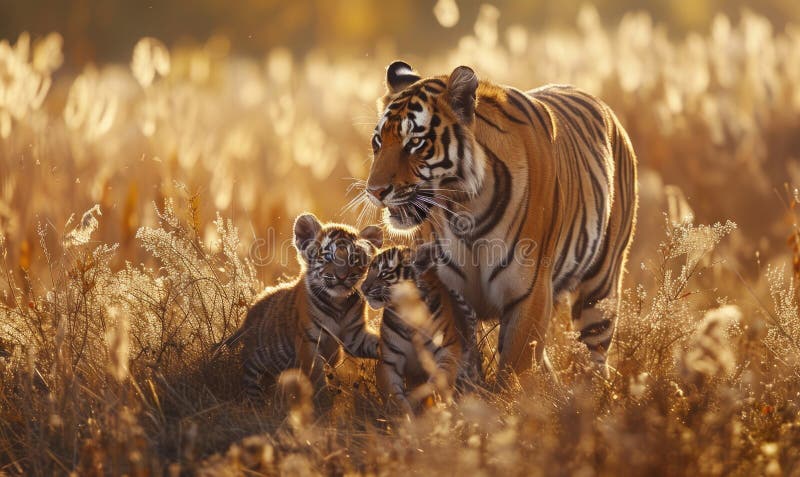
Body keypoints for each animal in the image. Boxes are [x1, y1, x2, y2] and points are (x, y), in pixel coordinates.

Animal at [226, 213, 383, 399]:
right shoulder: (308, 341)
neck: (338, 304)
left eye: (354, 259)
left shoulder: (355, 337)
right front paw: (324, 401)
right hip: (254, 367)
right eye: (327, 257)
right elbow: (318, 378)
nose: (342, 276)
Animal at [360, 61, 638, 380]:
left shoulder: (529, 293)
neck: (463, 208)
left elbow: (514, 371)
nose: (374, 191)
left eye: (415, 142)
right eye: (378, 142)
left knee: (594, 358)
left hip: (600, 287)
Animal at [360, 242, 483, 413]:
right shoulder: (389, 361)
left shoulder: (447, 350)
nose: (362, 288)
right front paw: (405, 415)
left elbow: (436, 383)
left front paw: (430, 407)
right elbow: (395, 397)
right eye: (369, 270)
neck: (408, 310)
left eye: (383, 273)